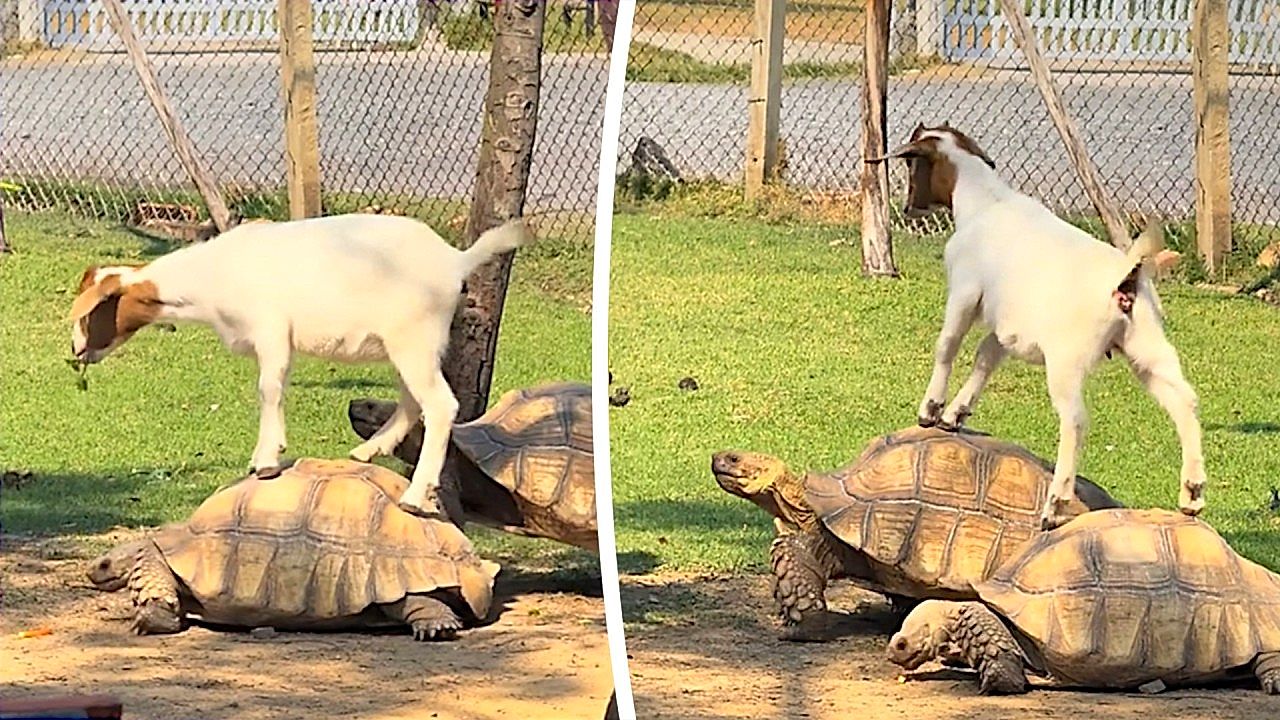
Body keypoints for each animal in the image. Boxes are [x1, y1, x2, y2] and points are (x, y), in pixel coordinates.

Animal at [68, 213, 534, 519]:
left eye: (91, 313)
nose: (76, 351)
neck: (214, 278)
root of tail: (455, 260)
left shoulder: (271, 330)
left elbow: (269, 389)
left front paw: (265, 460)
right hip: (410, 344)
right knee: (413, 401)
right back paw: (369, 449)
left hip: (414, 338)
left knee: (440, 405)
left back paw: (416, 496)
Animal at [868, 123, 1206, 529]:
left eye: (910, 164)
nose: (907, 208)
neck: (986, 202)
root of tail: (1126, 279)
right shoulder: (1008, 326)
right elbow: (986, 356)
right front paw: (955, 414)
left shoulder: (965, 292)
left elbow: (947, 345)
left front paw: (931, 410)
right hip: (1147, 344)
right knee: (1183, 399)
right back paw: (1192, 494)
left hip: (1067, 359)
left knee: (1075, 420)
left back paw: (1056, 505)